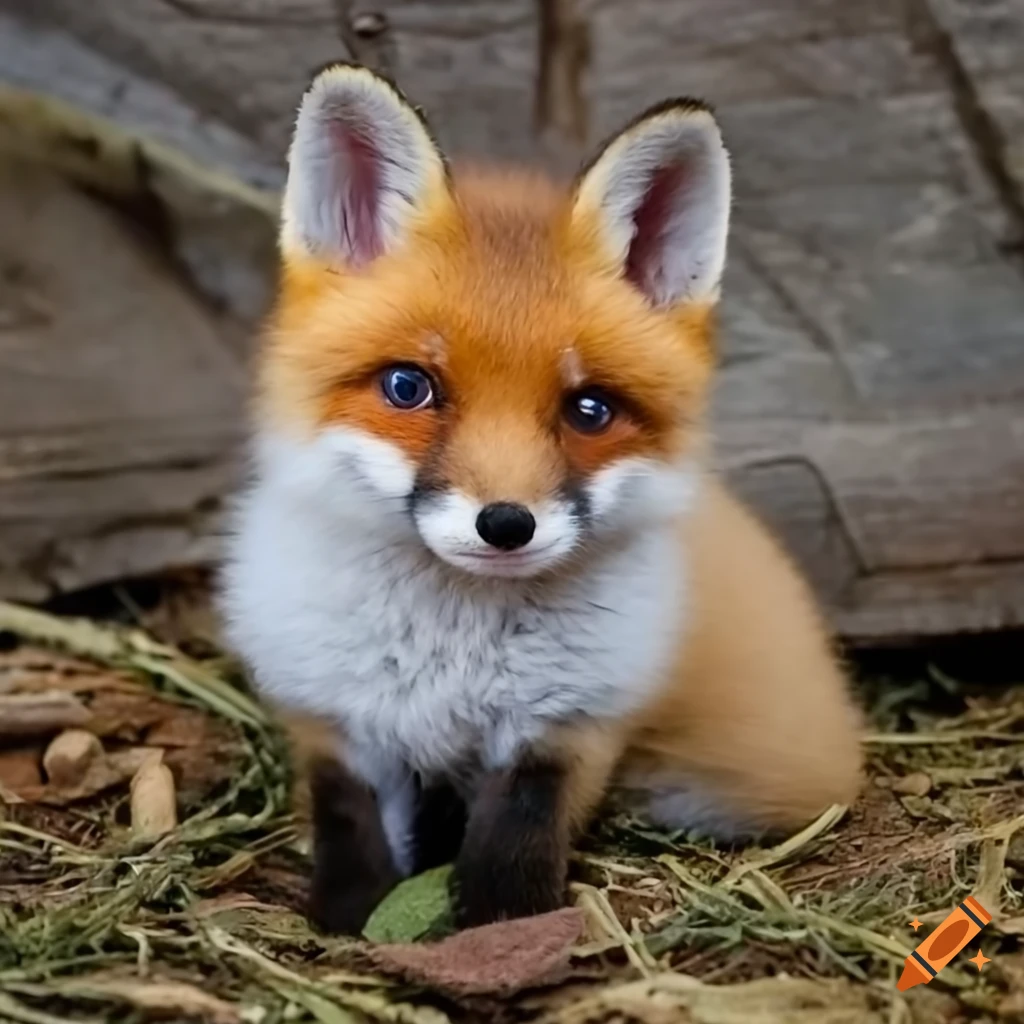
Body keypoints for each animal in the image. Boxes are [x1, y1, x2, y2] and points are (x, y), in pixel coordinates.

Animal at [220, 63, 864, 935]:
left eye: (588, 409)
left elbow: (514, 854)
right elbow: (352, 835)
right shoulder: (340, 721)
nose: (505, 524)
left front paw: (507, 930)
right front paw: (348, 920)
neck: (452, 654)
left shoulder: (567, 728)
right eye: (409, 387)